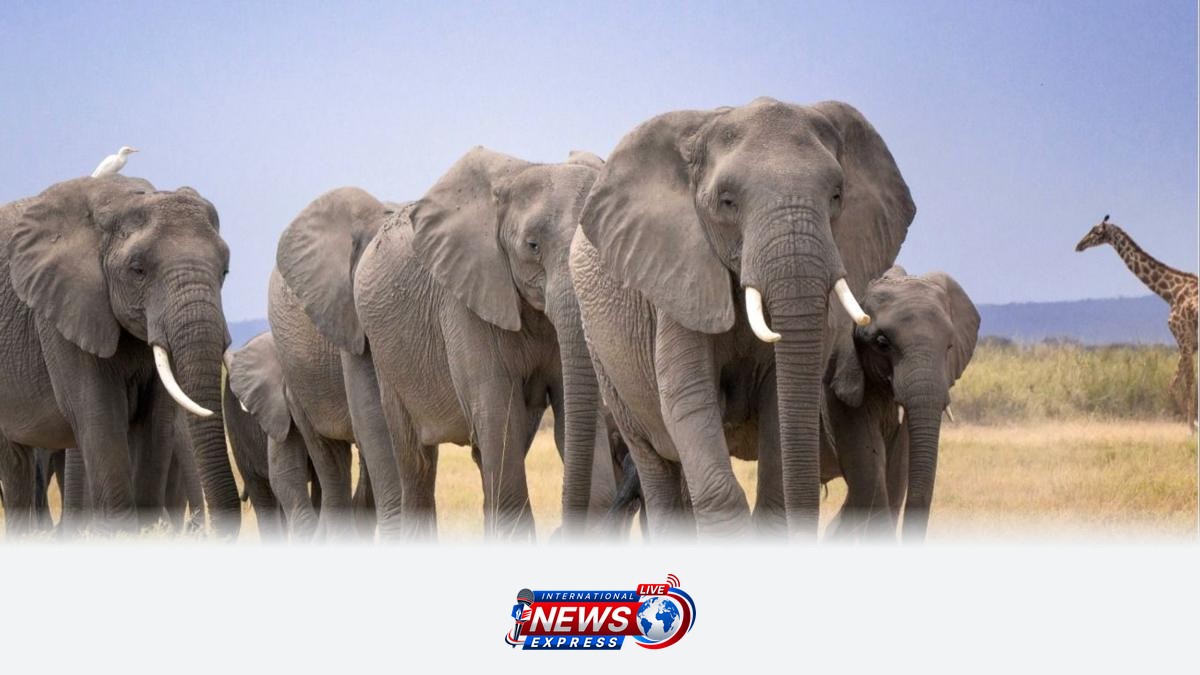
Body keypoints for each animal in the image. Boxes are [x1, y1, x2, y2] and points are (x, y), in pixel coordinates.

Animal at [275, 148, 615, 540]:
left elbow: (575, 417)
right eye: (532, 246)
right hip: (380, 350)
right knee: (413, 461)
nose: (560, 531)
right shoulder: (463, 304)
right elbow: (497, 418)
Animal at [570, 97, 916, 541]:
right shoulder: (678, 276)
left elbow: (779, 399)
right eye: (727, 202)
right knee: (654, 461)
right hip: (605, 361)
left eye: (837, 195)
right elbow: (688, 397)